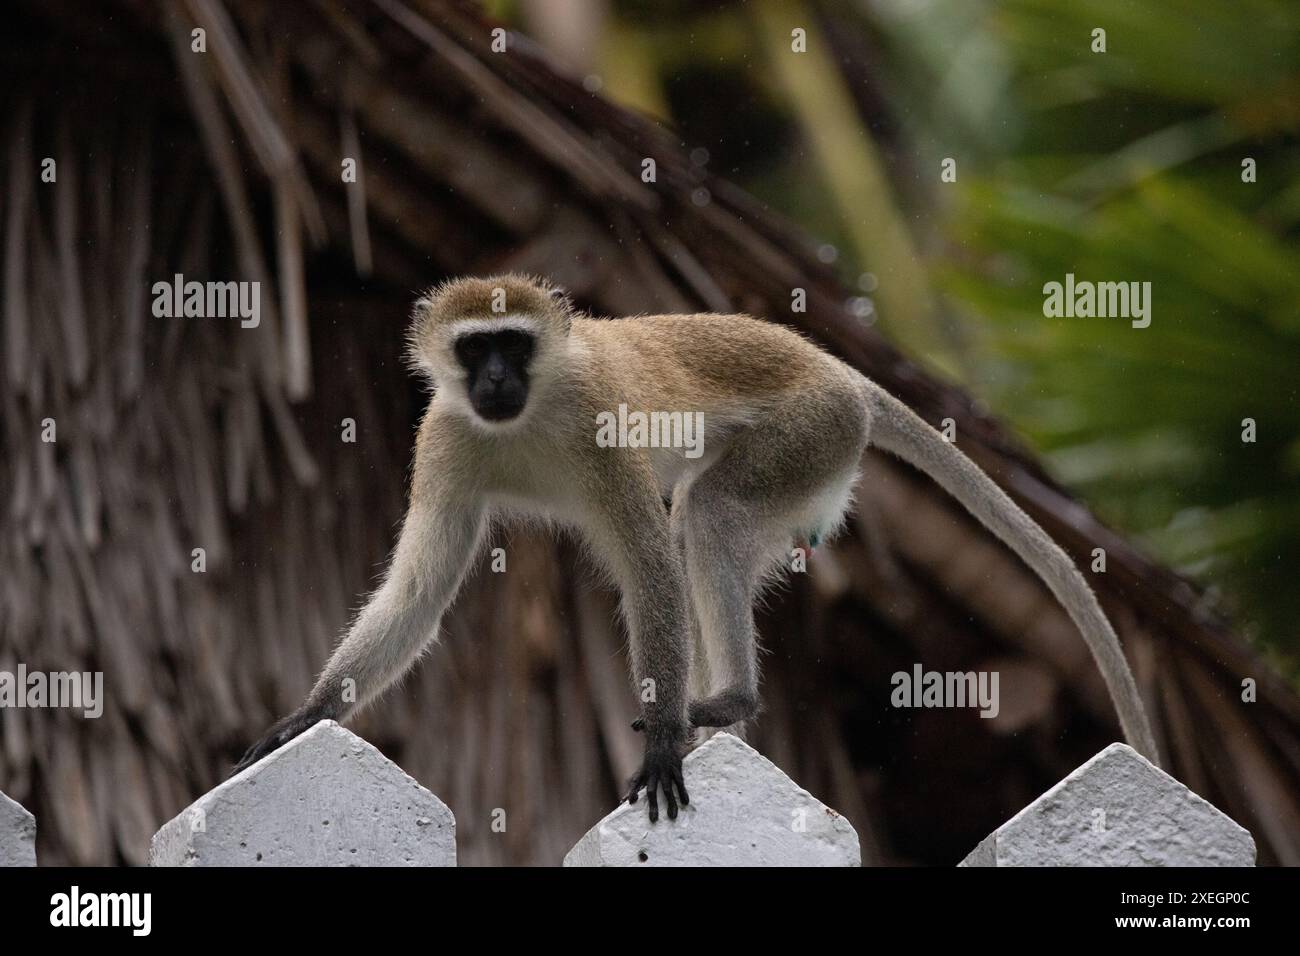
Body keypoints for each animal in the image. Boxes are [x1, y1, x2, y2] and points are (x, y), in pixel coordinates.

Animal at [235, 274, 1161, 822]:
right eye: (476, 348)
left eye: (515, 343)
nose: (495, 381)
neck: (527, 416)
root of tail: (842, 374)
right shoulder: (445, 439)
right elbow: (420, 592)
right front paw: (305, 716)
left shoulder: (600, 424)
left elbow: (648, 566)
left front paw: (661, 743)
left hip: (810, 437)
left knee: (705, 515)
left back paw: (722, 705)